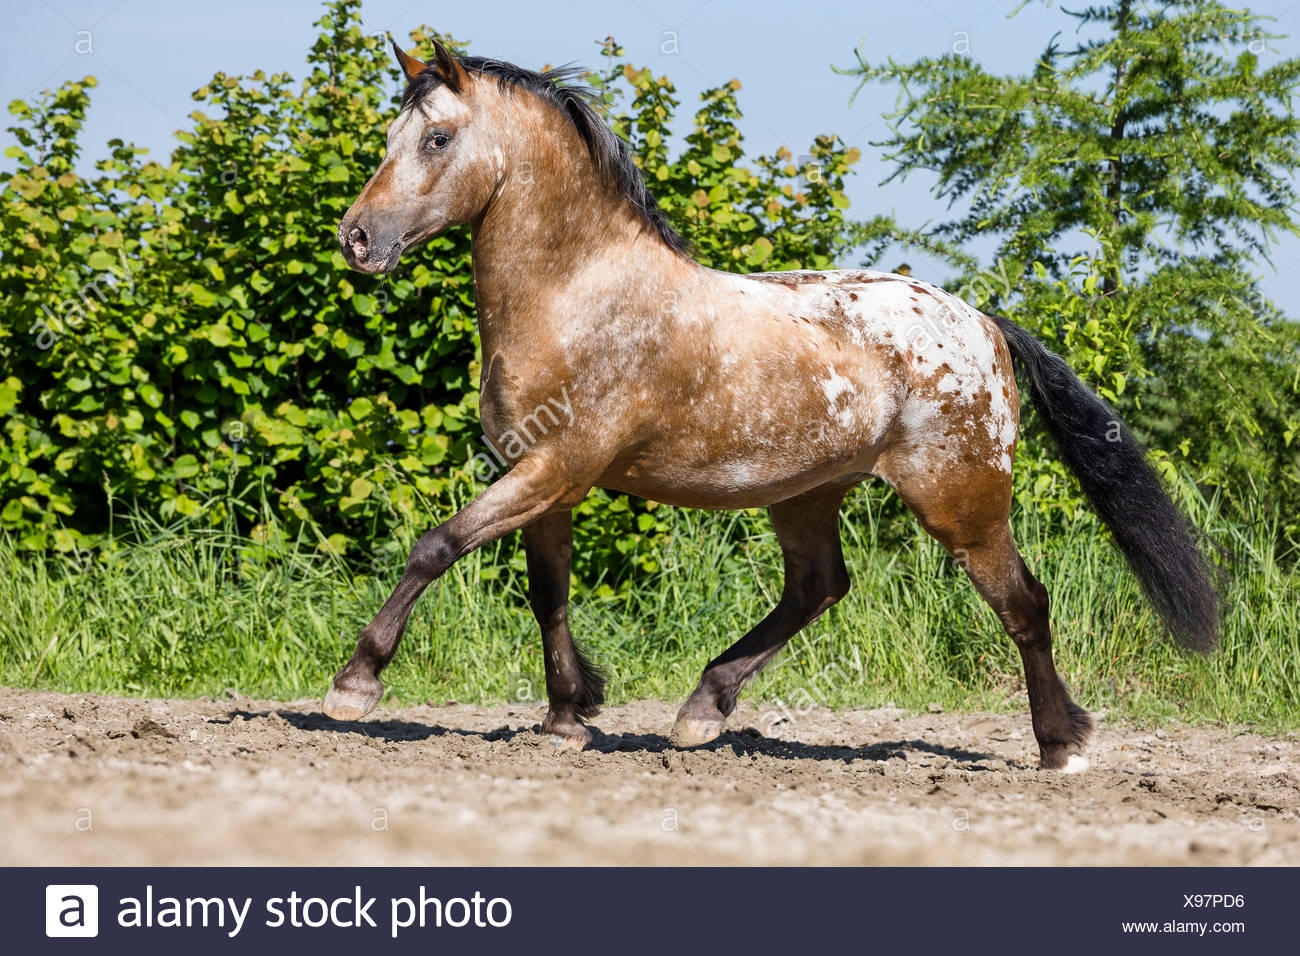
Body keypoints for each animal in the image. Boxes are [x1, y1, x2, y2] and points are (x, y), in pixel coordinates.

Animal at [323, 38, 1219, 771]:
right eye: (391, 137)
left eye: (437, 139)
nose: (357, 239)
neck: (580, 296)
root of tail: (984, 324)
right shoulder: (546, 480)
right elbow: (549, 594)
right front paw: (570, 716)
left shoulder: (556, 468)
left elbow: (435, 546)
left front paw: (354, 685)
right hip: (808, 493)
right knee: (819, 586)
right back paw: (702, 710)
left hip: (961, 503)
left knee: (1023, 602)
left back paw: (1062, 743)